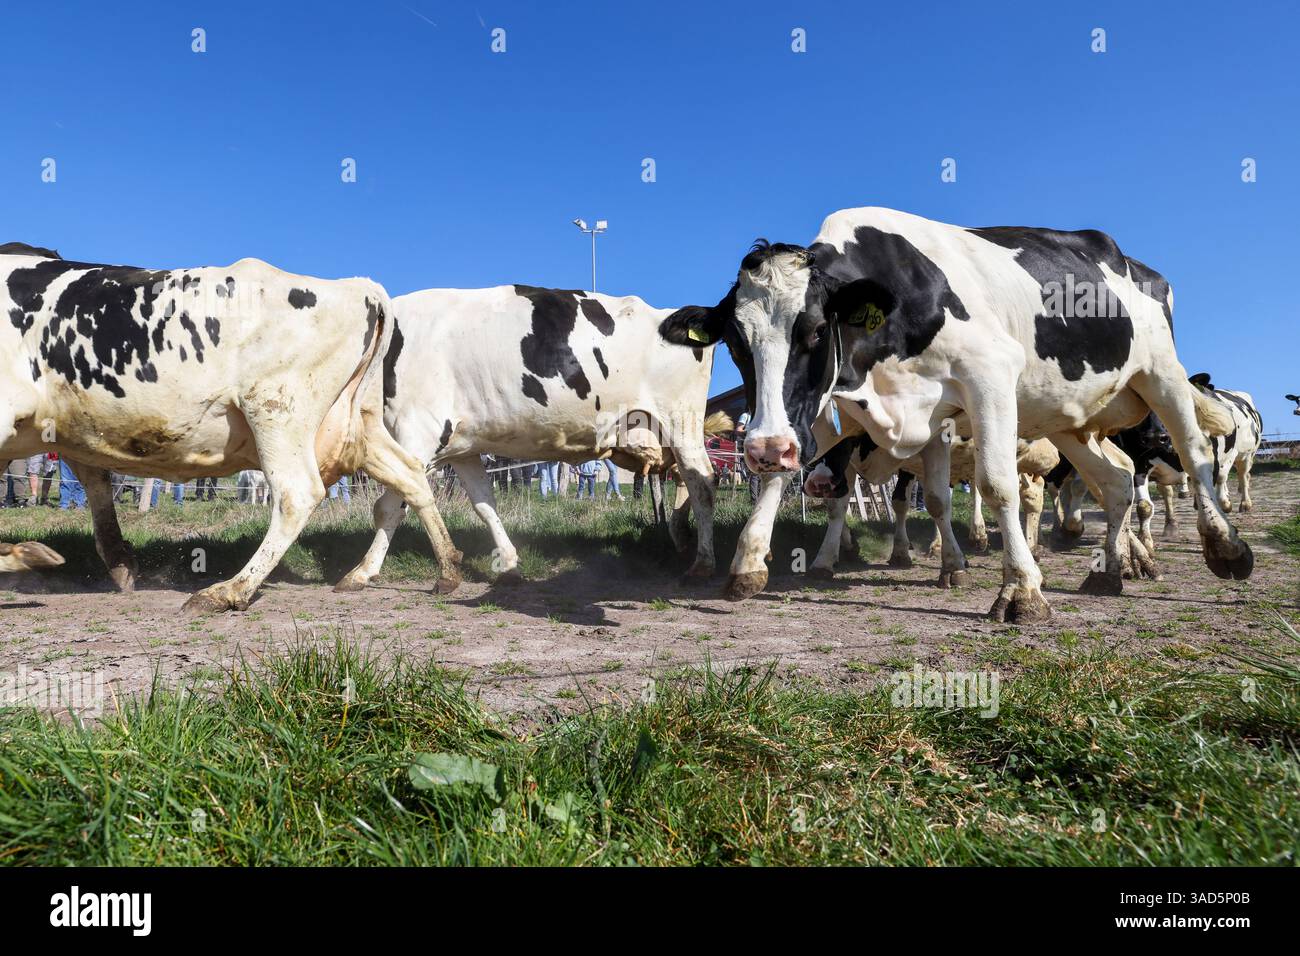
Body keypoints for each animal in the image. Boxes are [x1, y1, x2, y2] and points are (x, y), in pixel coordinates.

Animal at [1, 242, 462, 612]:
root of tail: (357, 286)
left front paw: (23, 556)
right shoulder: (73, 431)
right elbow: (97, 487)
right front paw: (118, 563)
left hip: (275, 409)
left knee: (298, 494)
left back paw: (229, 591)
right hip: (358, 425)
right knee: (410, 476)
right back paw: (437, 570)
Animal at [334, 285, 721, 591]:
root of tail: (667, 314)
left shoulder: (416, 431)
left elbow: (392, 504)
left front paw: (363, 572)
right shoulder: (461, 448)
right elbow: (484, 503)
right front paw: (507, 564)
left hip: (682, 422)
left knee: (703, 483)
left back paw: (703, 564)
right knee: (685, 481)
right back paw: (681, 538)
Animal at [657, 207, 1252, 621]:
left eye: (817, 331)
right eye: (735, 345)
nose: (759, 449)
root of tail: (1133, 261)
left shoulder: (989, 376)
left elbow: (996, 485)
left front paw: (1022, 591)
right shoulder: (850, 409)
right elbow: (925, 494)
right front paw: (748, 562)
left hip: (1161, 373)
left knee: (1195, 454)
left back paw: (1225, 547)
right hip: (1070, 421)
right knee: (1118, 481)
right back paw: (1111, 570)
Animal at [1189, 374, 1263, 514]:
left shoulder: (1230, 453)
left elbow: (1221, 477)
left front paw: (1224, 504)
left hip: (1247, 454)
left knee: (1243, 476)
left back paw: (1245, 503)